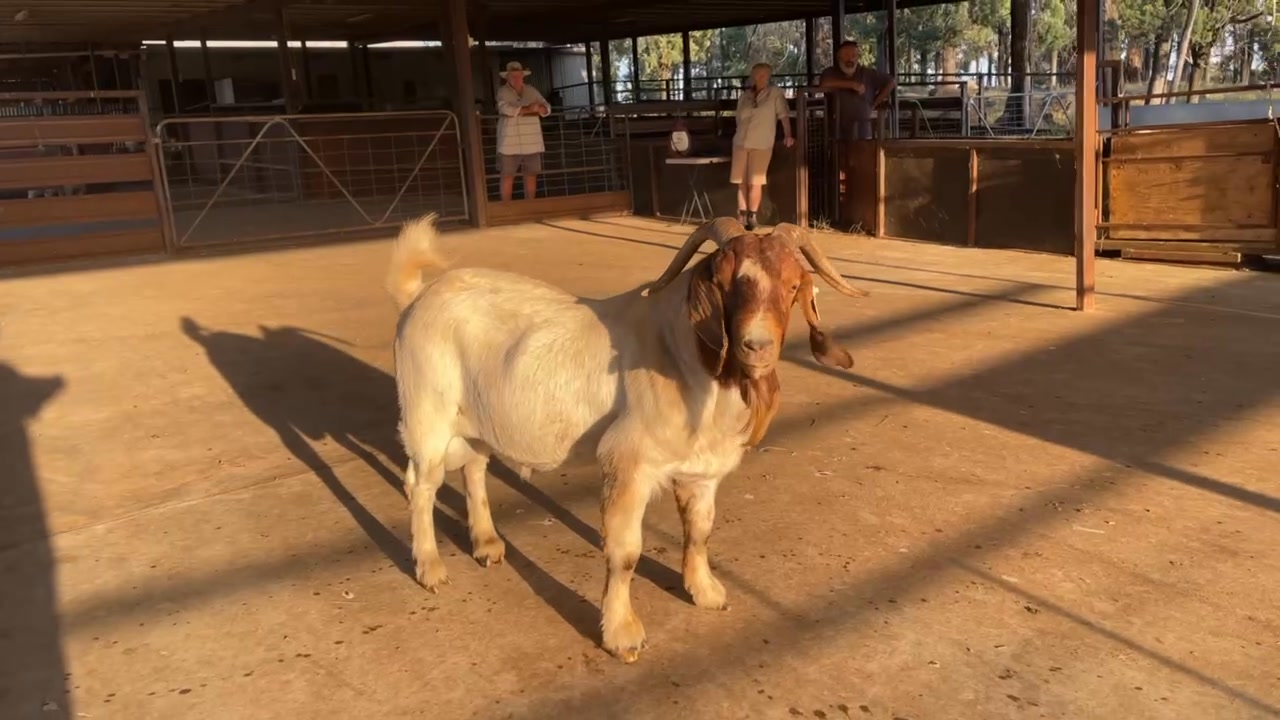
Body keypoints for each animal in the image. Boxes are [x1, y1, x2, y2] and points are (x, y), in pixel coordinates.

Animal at [386, 215, 867, 662]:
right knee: (420, 485)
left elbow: (700, 531)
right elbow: (625, 552)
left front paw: (705, 591)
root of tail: (417, 298)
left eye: (793, 285)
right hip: (428, 412)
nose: (757, 346)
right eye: (726, 282)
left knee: (474, 466)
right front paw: (622, 634)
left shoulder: (701, 470)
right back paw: (430, 568)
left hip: (479, 416)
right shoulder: (628, 462)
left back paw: (486, 544)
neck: (683, 355)